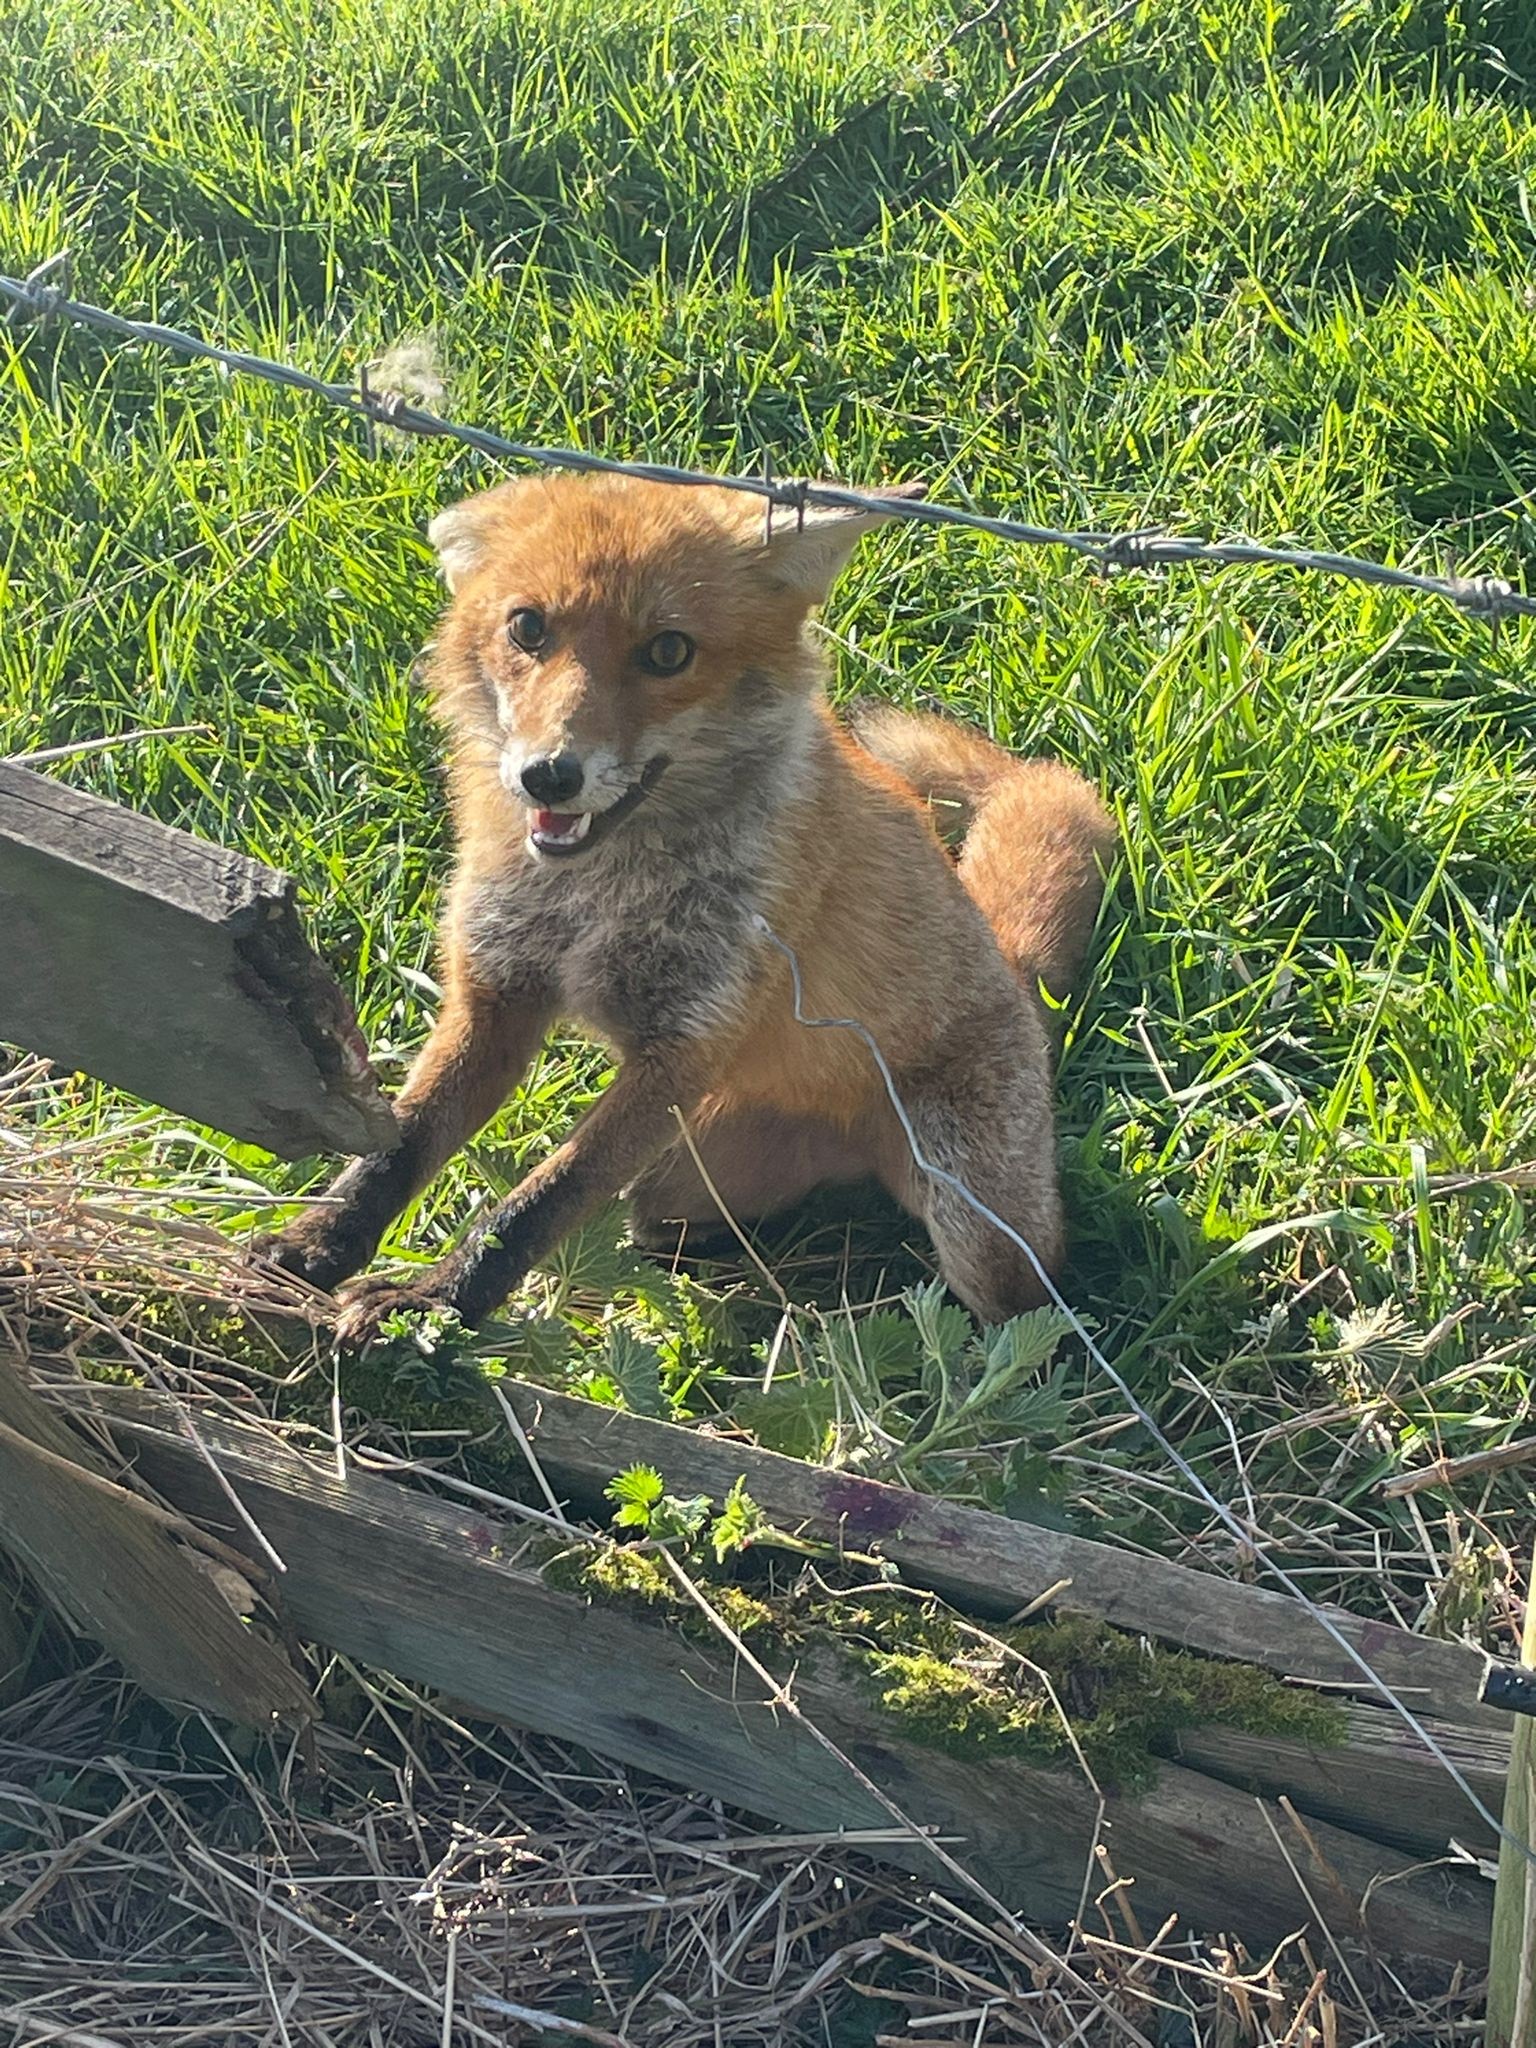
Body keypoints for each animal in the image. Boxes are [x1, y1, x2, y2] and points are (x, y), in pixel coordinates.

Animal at [254, 471, 1116, 1346]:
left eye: (668, 651)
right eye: (527, 627)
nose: (548, 774)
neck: (590, 901)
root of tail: (1011, 967)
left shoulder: (683, 1050)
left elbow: (535, 1207)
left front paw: (434, 1306)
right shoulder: (495, 998)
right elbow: (399, 1148)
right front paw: (313, 1246)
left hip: (977, 1226)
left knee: (1034, 1317)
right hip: (672, 1179)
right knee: (687, 1217)